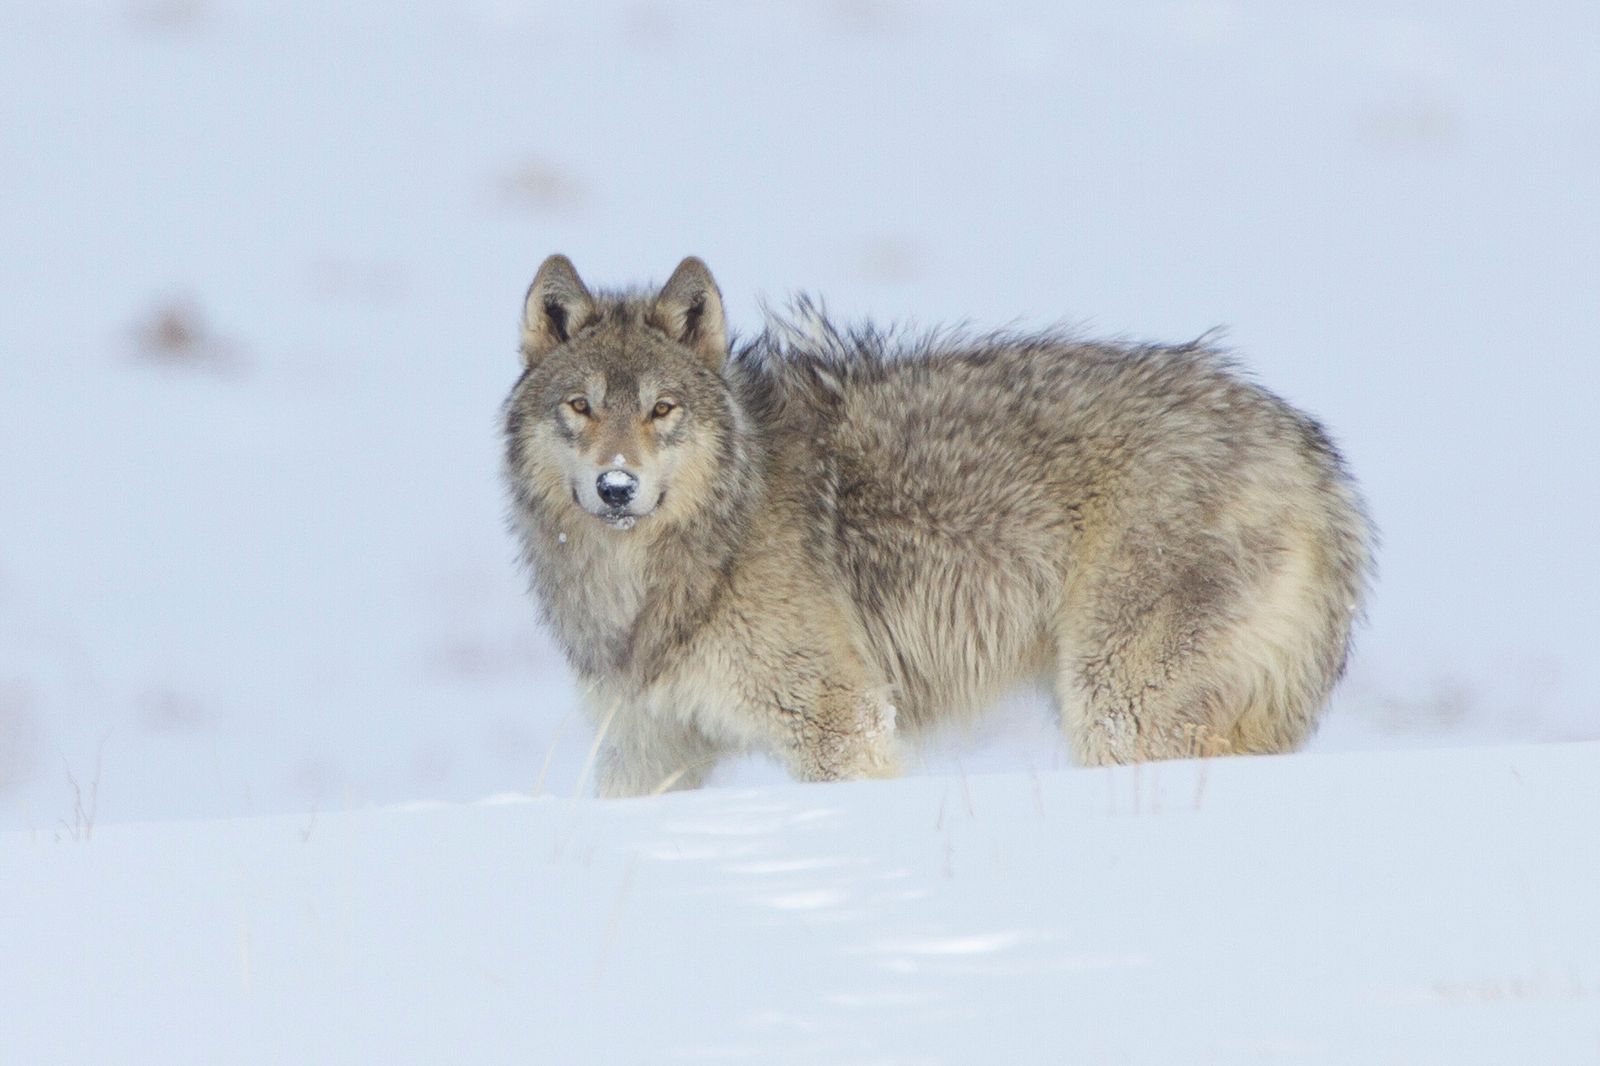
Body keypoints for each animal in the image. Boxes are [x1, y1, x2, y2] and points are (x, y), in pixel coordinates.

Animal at [502, 256, 1373, 797]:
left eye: (662, 409)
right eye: (580, 406)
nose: (617, 488)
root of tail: (1308, 447)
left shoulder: (840, 721)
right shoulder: (646, 748)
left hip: (1116, 708)